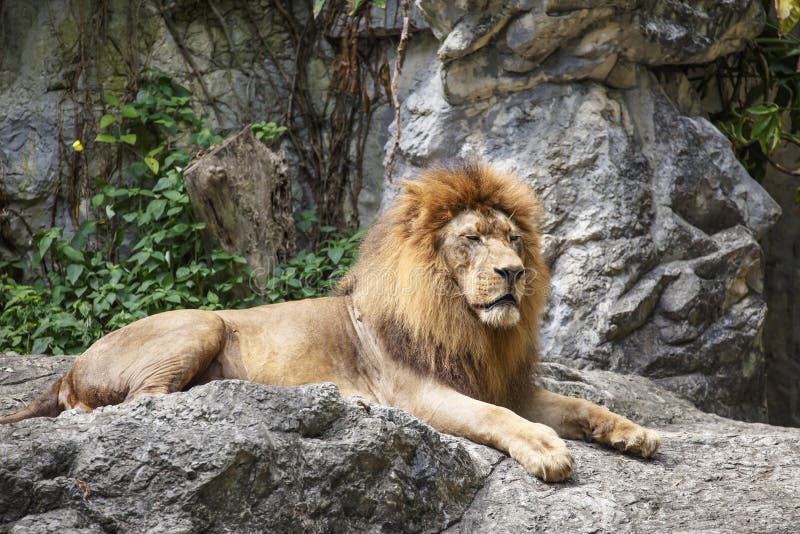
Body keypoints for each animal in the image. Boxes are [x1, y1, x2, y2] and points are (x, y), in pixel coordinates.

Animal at [1, 161, 660, 481]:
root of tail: (67, 370)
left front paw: (635, 433)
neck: (467, 322)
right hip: (200, 323)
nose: (514, 273)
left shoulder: (506, 382)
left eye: (515, 240)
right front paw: (547, 451)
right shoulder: (420, 392)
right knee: (135, 403)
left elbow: (582, 404)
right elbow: (497, 419)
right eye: (472, 239)